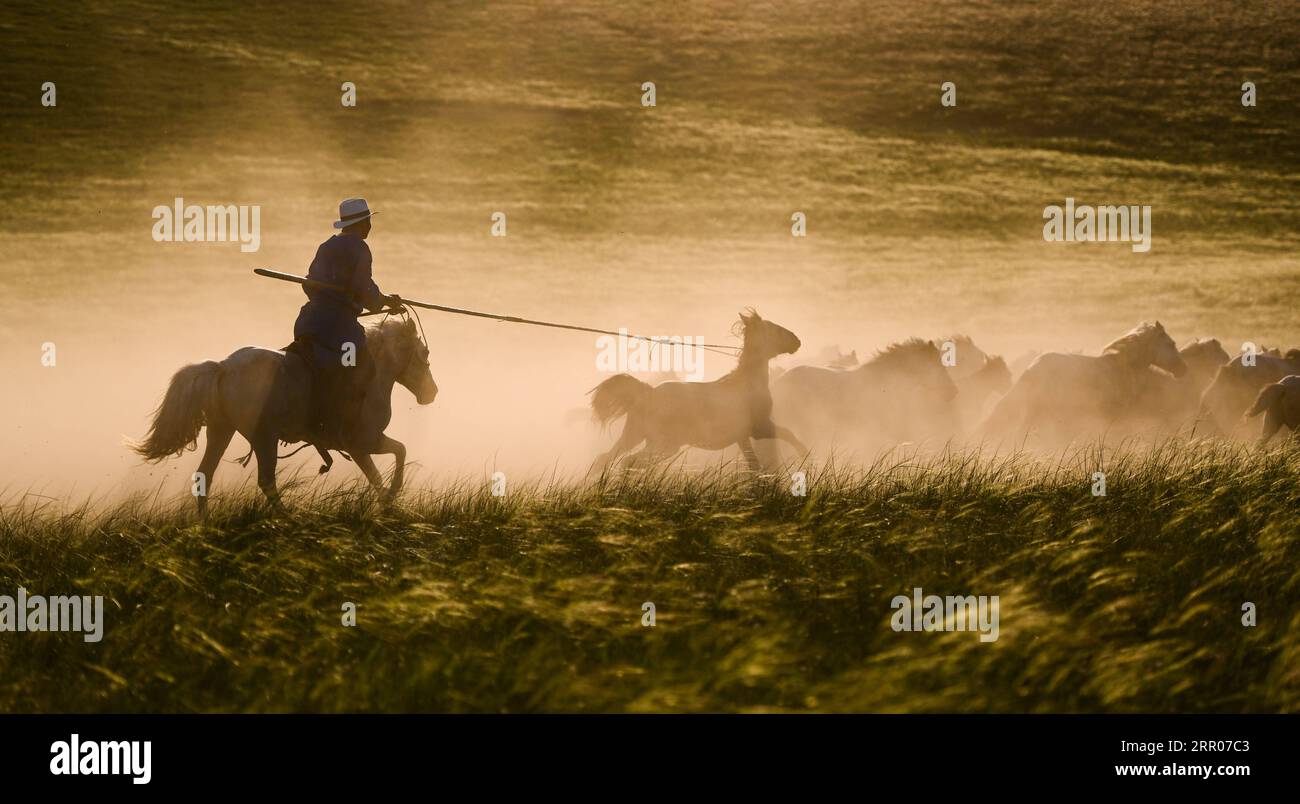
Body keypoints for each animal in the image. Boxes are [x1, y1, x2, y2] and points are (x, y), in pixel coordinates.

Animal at [133, 317, 437, 515]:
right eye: (424, 353)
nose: (431, 393)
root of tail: (223, 367)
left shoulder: (361, 447)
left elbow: (380, 472)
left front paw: (387, 503)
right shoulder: (364, 442)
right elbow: (398, 454)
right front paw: (391, 497)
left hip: (222, 430)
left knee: (205, 475)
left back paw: (204, 524)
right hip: (263, 437)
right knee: (266, 481)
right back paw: (289, 519)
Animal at [589, 310, 805, 471]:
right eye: (776, 329)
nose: (797, 341)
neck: (747, 384)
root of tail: (648, 393)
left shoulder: (742, 437)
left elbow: (754, 465)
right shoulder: (760, 427)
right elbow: (788, 434)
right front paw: (806, 455)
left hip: (634, 437)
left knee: (606, 459)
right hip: (663, 444)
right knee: (628, 462)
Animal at [977, 321, 1186, 445]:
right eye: (1171, 344)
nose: (1183, 369)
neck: (1120, 369)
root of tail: (1032, 369)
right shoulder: (1113, 416)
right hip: (1036, 412)